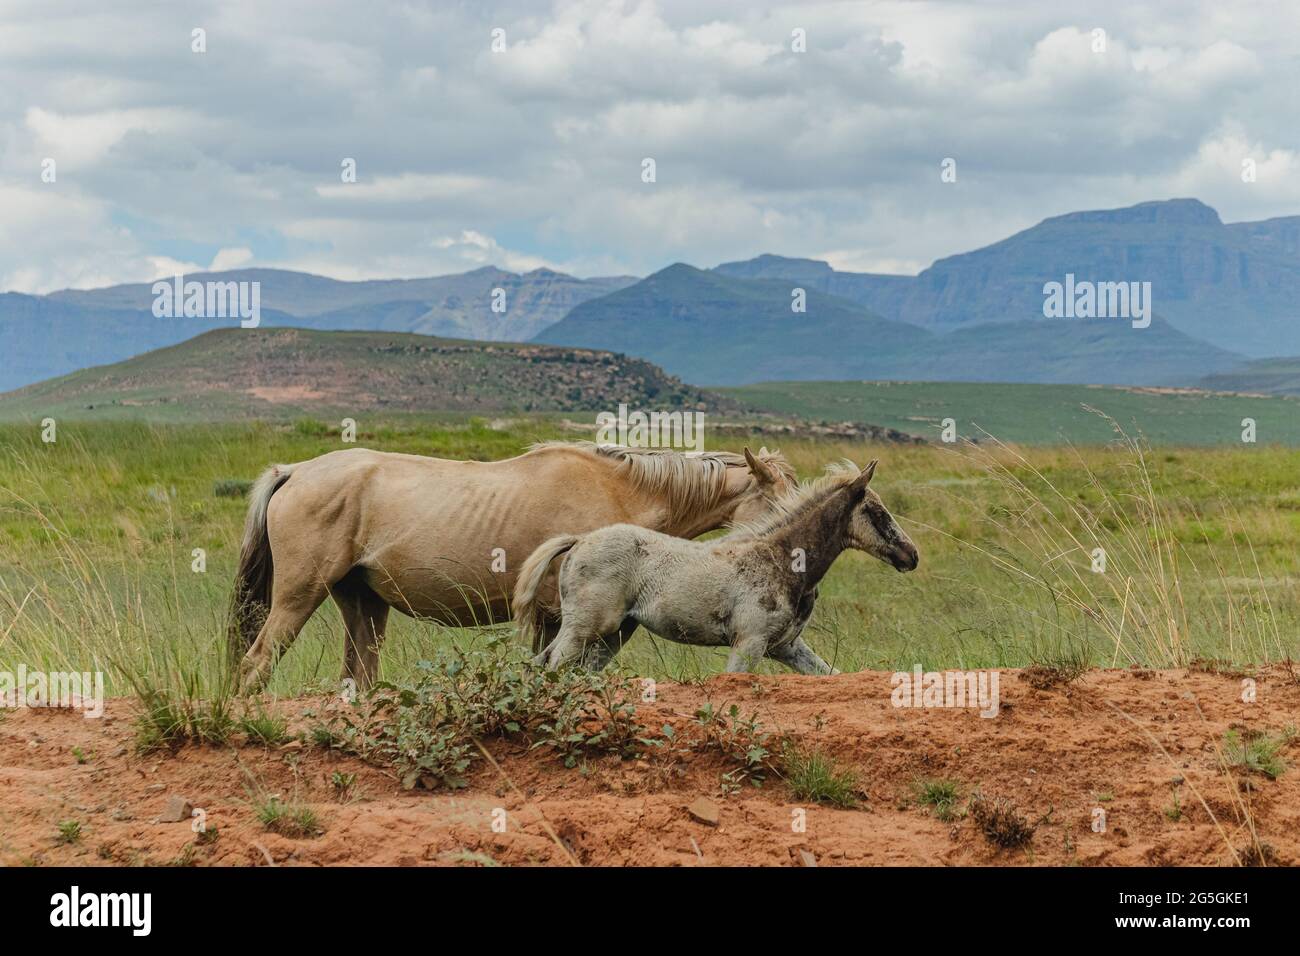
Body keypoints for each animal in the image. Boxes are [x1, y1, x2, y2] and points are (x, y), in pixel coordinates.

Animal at [229, 441, 796, 691]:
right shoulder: (555, 618)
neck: (619, 493)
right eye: (782, 506)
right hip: (299, 598)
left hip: (363, 605)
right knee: (255, 666)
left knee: (357, 679)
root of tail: (295, 470)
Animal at [516, 459, 918, 674]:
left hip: (613, 635)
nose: (910, 555)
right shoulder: (749, 643)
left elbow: (831, 674)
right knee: (550, 665)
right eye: (876, 512)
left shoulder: (786, 647)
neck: (780, 558)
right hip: (585, 628)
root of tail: (579, 541)